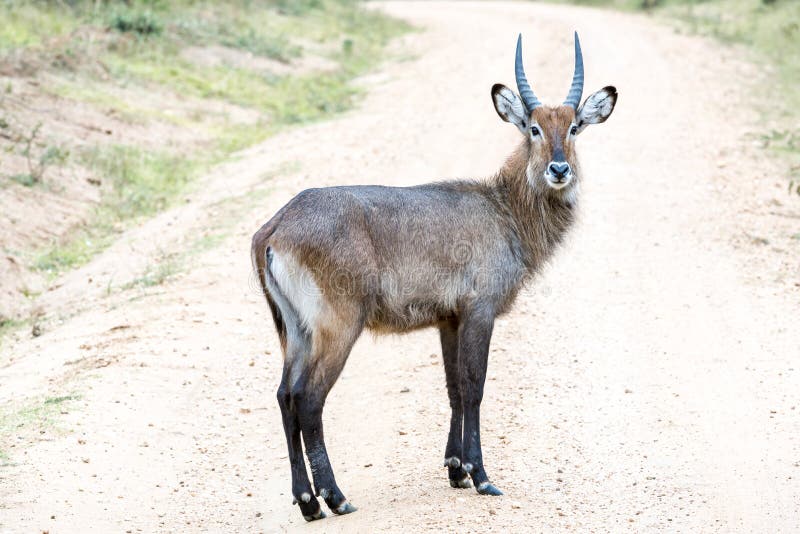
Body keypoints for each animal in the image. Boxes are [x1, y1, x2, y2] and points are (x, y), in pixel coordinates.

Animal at [252, 32, 617, 521]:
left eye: (575, 126)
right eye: (533, 128)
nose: (559, 170)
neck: (504, 209)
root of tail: (275, 227)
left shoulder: (449, 318)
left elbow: (453, 389)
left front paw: (455, 469)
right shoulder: (480, 310)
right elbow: (475, 386)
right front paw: (481, 476)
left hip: (293, 329)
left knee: (284, 395)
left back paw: (306, 501)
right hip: (336, 325)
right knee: (308, 399)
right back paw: (334, 497)